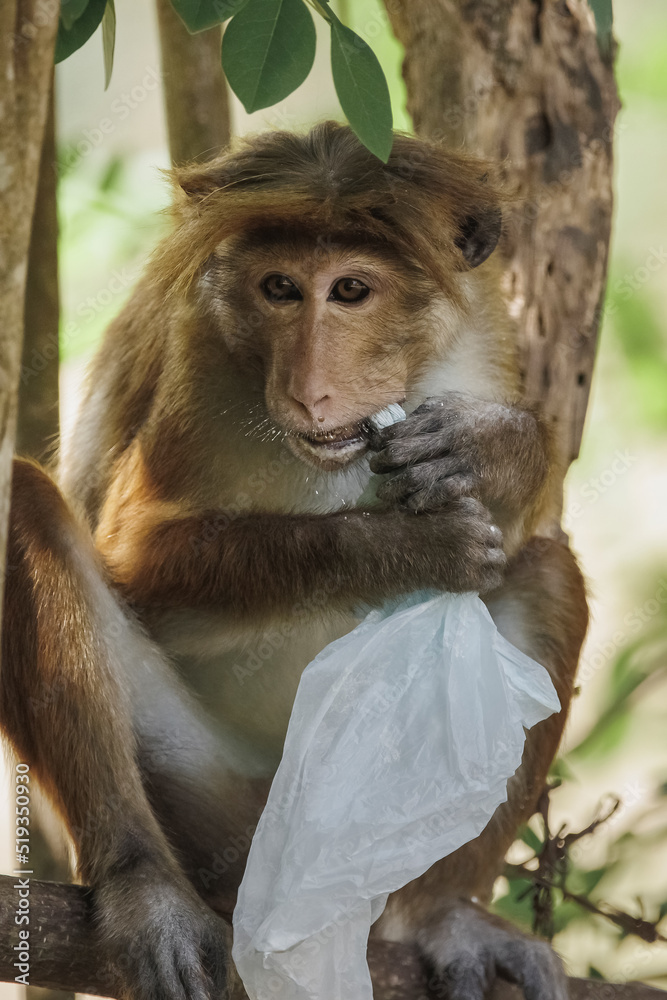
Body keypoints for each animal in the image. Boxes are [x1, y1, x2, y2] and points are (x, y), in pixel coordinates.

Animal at [2, 122, 588, 1000]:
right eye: (279, 288)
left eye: (349, 290)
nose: (311, 390)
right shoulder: (195, 361)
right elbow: (136, 556)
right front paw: (403, 548)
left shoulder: (487, 330)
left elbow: (532, 521)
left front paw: (491, 448)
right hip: (209, 797)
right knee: (25, 504)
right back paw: (142, 883)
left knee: (549, 571)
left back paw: (439, 912)